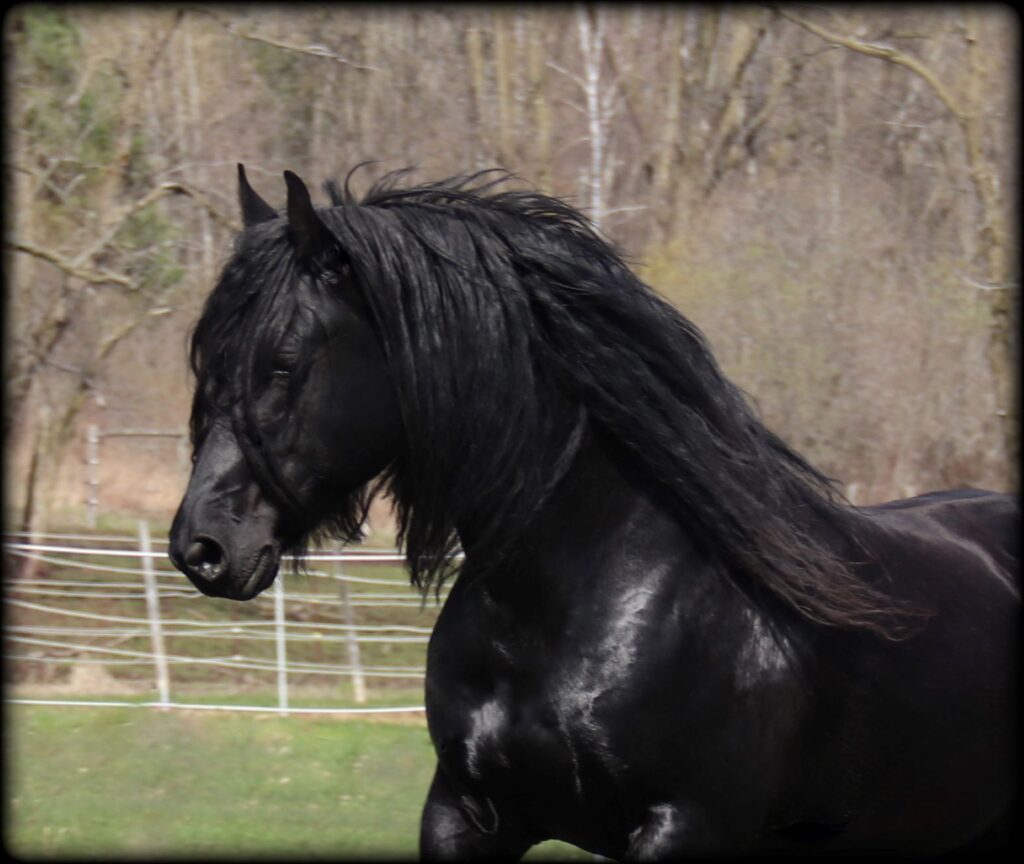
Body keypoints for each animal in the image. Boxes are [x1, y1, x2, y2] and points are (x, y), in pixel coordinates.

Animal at [169, 164, 1018, 858]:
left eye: (283, 361)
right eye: (209, 360)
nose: (201, 547)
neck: (572, 597)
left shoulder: (684, 827)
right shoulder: (465, 814)